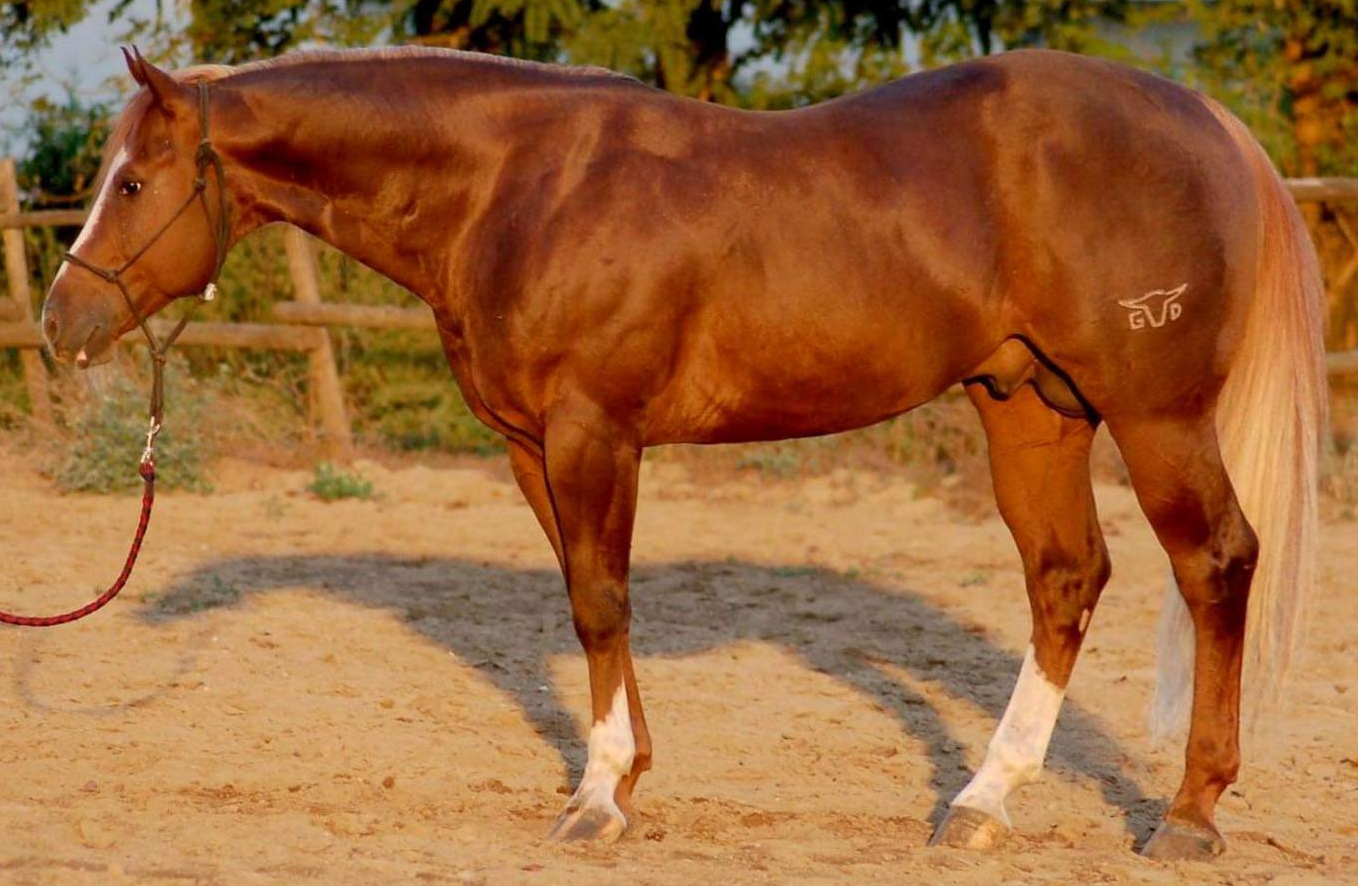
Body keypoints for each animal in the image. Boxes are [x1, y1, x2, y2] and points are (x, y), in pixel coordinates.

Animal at [41, 45, 1325, 860]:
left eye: (133, 182)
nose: (60, 323)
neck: (514, 187)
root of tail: (1206, 123)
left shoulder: (592, 432)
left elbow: (601, 602)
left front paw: (597, 800)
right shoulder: (531, 446)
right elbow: (586, 598)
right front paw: (619, 775)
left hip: (1153, 415)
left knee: (1215, 563)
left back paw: (1188, 815)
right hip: (1029, 408)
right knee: (1064, 579)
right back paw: (979, 801)